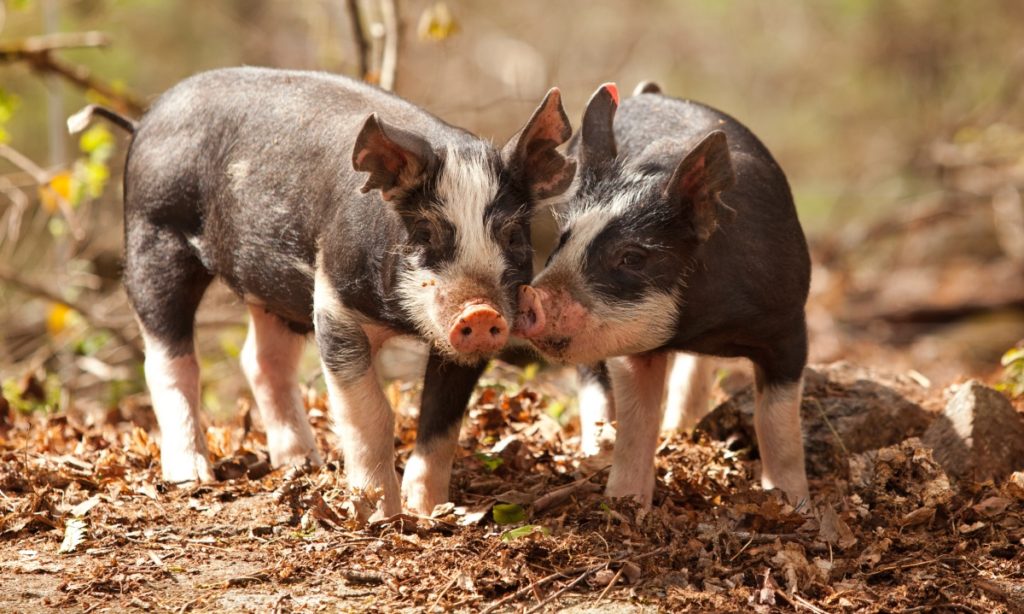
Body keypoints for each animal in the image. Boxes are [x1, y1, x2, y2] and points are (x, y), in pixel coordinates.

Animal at [85, 67, 573, 517]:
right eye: (426, 232)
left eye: (511, 236)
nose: (479, 313)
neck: (402, 322)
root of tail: (144, 121)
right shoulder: (335, 302)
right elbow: (370, 413)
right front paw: (380, 515)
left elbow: (441, 419)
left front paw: (430, 511)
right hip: (153, 234)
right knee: (169, 359)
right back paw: (193, 475)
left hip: (271, 285)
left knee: (260, 361)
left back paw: (302, 464)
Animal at [515, 81, 811, 506]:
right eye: (563, 239)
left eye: (632, 257)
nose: (530, 296)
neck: (701, 325)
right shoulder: (632, 345)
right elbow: (638, 422)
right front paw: (624, 503)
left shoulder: (788, 325)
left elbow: (778, 424)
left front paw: (796, 506)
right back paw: (596, 453)